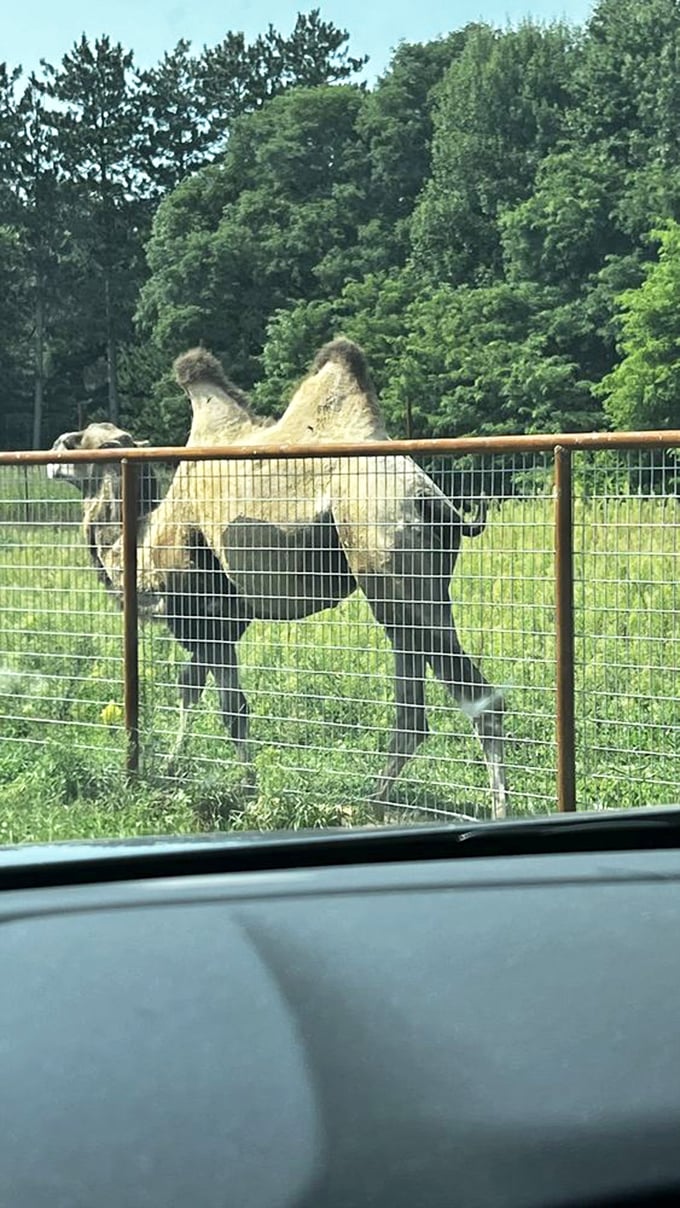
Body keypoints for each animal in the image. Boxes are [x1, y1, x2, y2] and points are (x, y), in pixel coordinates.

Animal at [111, 338, 507, 818]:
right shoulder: (227, 617)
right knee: (415, 712)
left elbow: (214, 700)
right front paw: (185, 771)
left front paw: (227, 783)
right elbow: (204, 692)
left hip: (385, 561)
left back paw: (489, 808)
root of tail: (429, 500)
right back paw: (376, 799)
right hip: (415, 591)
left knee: (478, 700)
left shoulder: (200, 608)